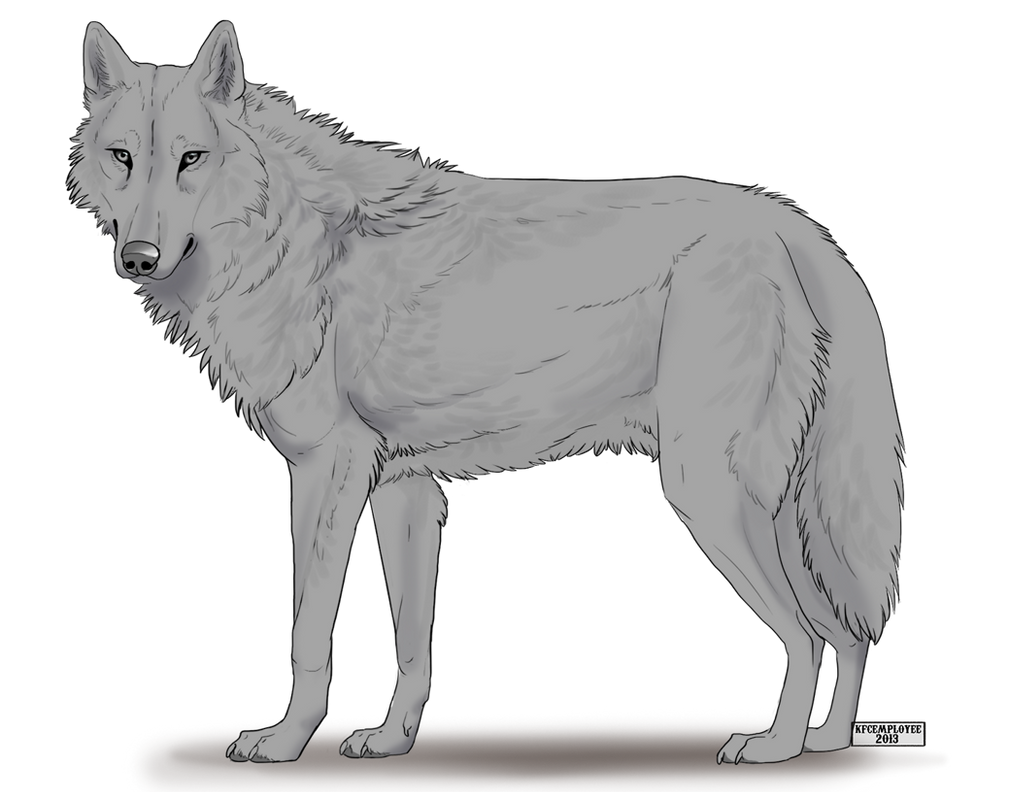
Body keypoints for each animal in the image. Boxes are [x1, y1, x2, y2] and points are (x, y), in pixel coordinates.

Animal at [70, 20, 904, 765]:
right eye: (123, 158)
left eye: (191, 159)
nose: (137, 257)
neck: (285, 244)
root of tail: (789, 225)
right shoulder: (402, 488)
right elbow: (412, 641)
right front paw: (391, 740)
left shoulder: (323, 475)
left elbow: (309, 635)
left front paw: (283, 743)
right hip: (775, 504)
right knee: (845, 625)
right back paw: (828, 740)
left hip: (710, 492)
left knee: (805, 631)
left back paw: (778, 747)